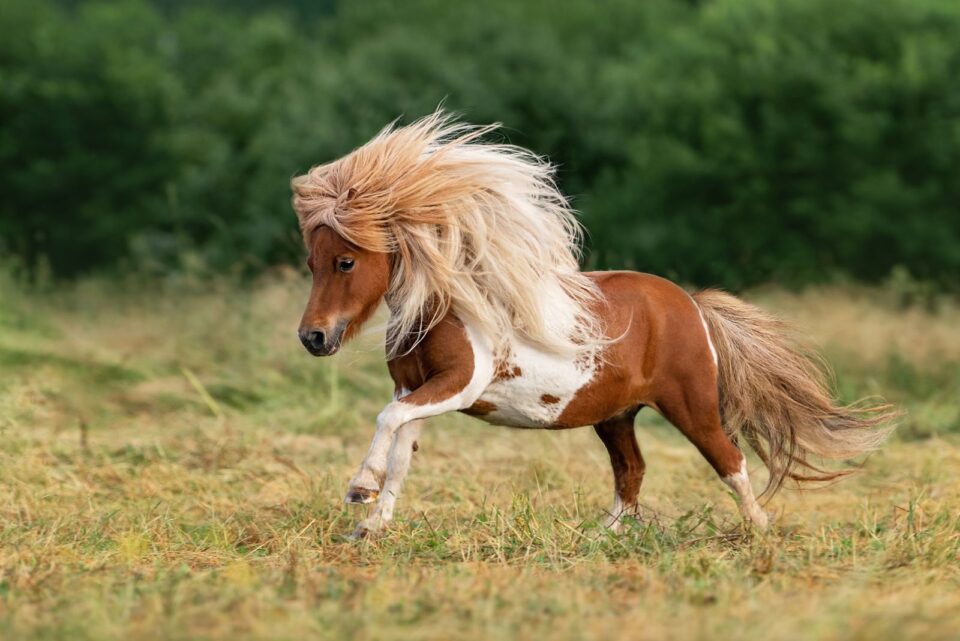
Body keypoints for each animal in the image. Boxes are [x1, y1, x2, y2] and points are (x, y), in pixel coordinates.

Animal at [291, 112, 897, 538]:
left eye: (345, 262)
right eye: (311, 262)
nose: (313, 338)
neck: (446, 307)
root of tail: (692, 305)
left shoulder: (457, 385)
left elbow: (387, 422)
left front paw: (358, 492)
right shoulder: (415, 389)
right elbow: (400, 450)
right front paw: (371, 523)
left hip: (692, 405)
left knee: (730, 461)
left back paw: (760, 532)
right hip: (616, 416)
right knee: (632, 473)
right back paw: (598, 537)